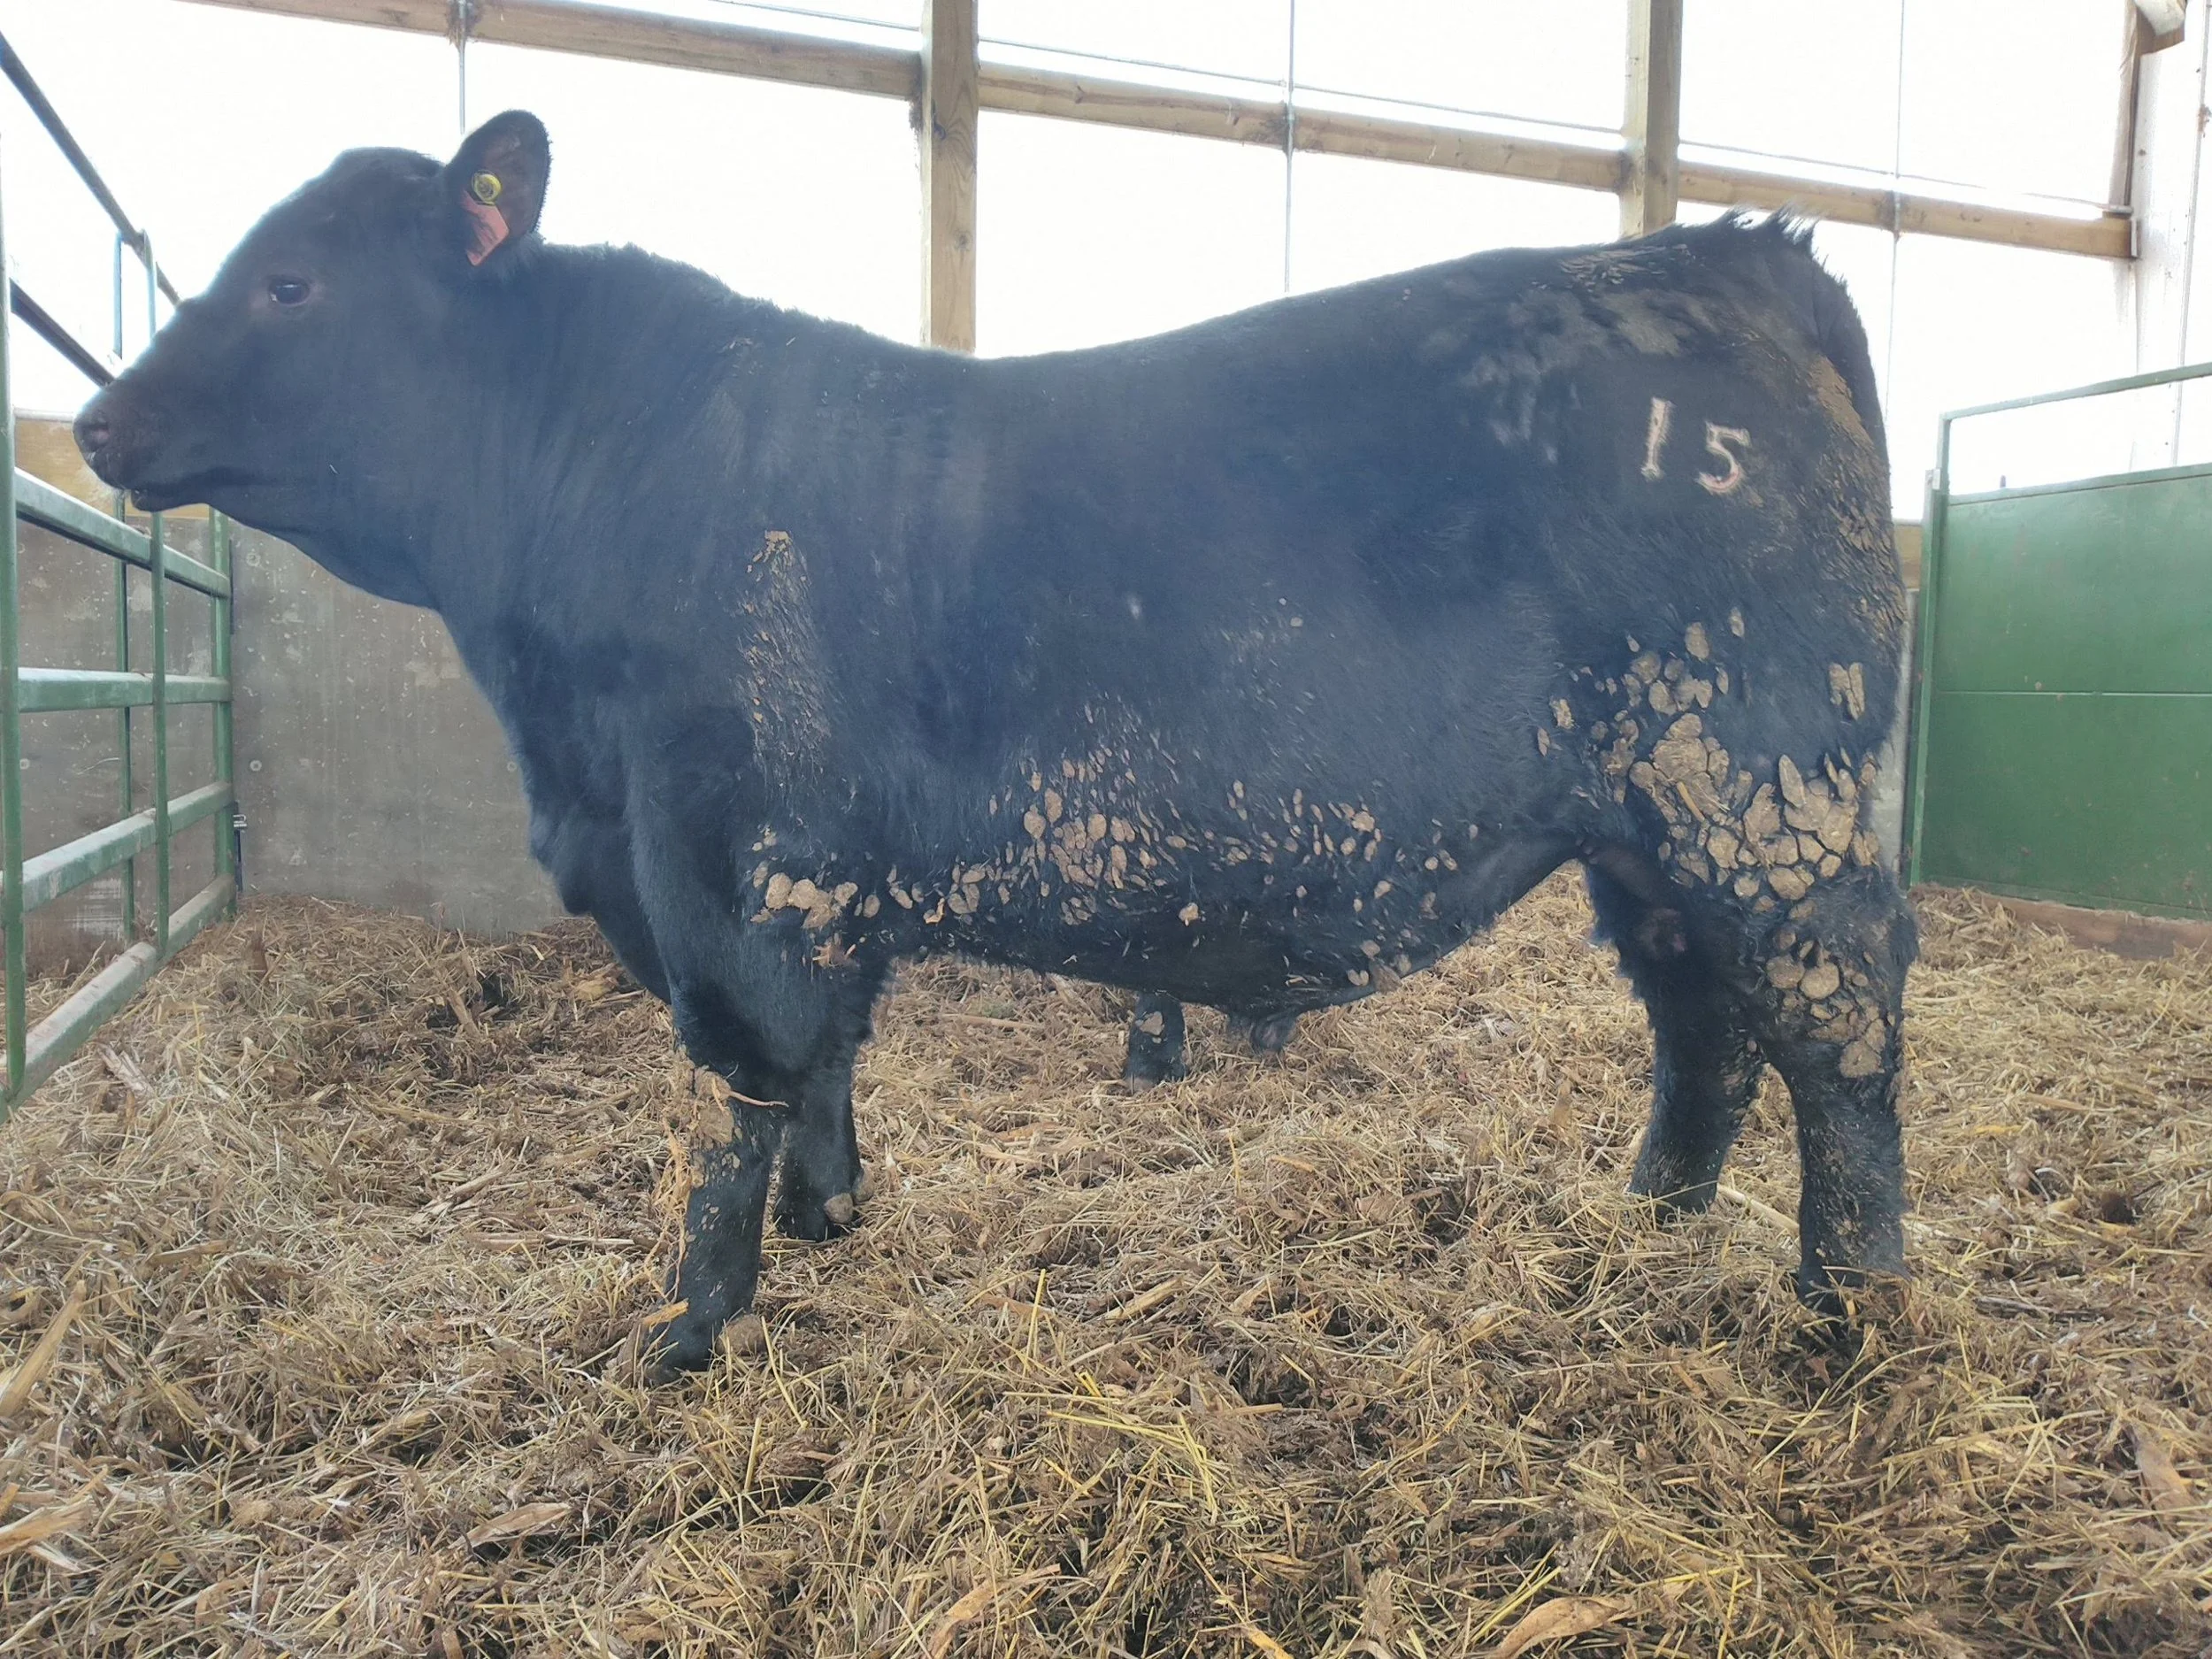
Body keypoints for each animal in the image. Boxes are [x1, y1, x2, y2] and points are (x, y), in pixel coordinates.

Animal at [76, 112, 1916, 1371]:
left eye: (292, 279)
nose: (97, 420)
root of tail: (1718, 252)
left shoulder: (726, 865)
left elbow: (735, 1088)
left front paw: (691, 1327)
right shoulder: (800, 884)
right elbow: (825, 1067)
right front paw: (831, 1216)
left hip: (1762, 797)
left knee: (1837, 1022)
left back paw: (1851, 1308)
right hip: (1648, 821)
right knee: (1699, 1017)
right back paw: (1651, 1212)